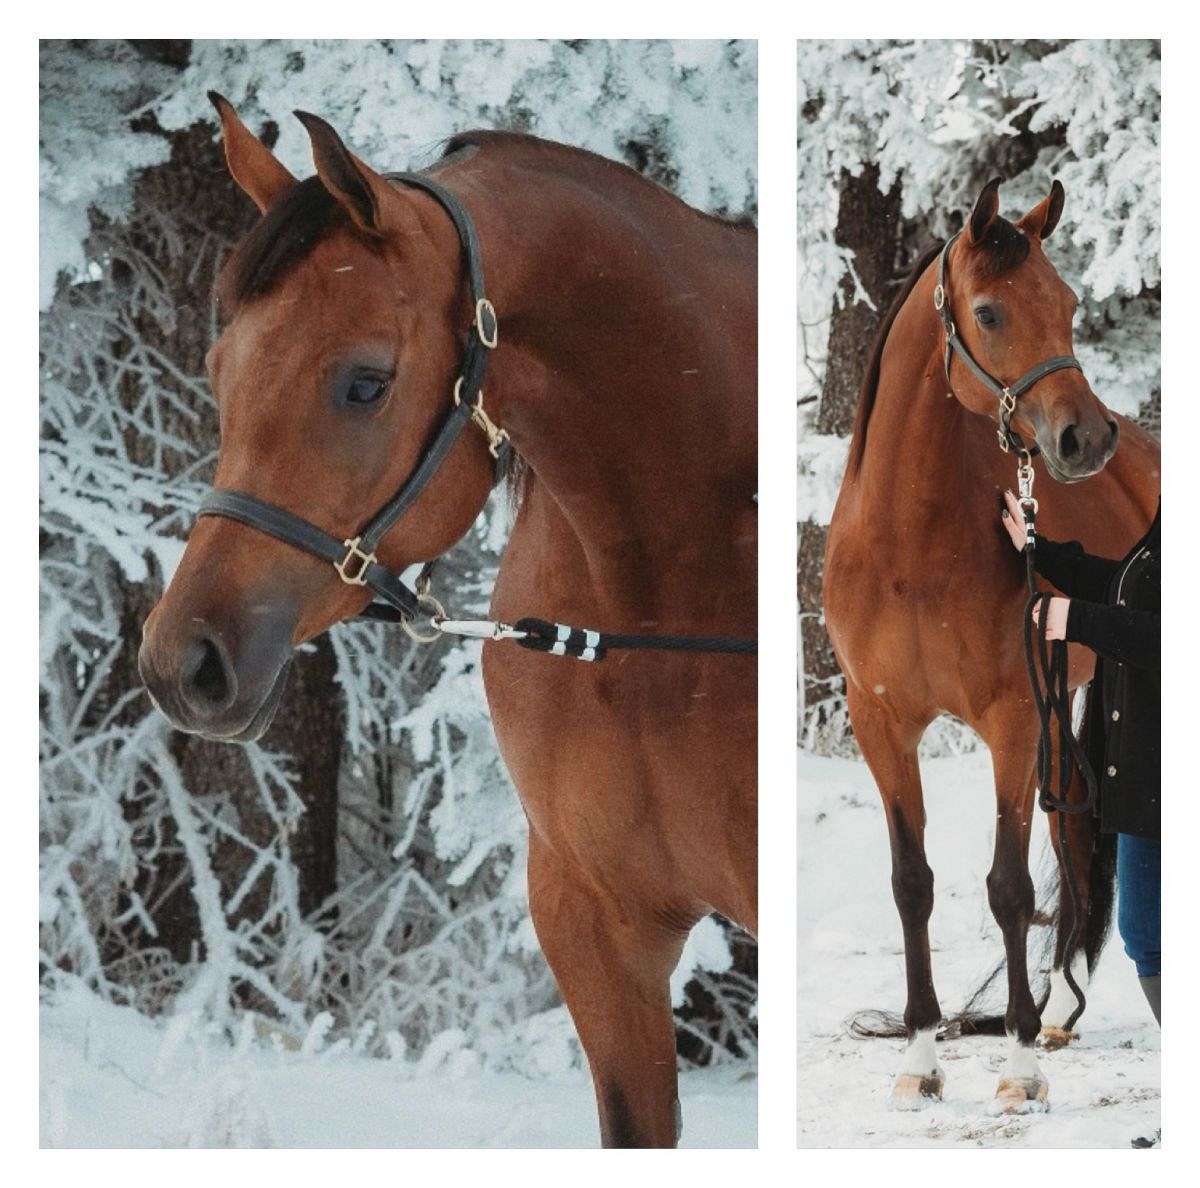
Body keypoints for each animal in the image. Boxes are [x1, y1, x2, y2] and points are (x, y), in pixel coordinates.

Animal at [822, 178, 1159, 1112]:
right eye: (989, 312)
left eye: (1070, 304)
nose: (1084, 440)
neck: (908, 544)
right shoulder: (882, 724)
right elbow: (912, 885)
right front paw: (919, 1056)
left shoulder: (1010, 719)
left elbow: (1008, 887)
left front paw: (1016, 1065)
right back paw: (1058, 1012)